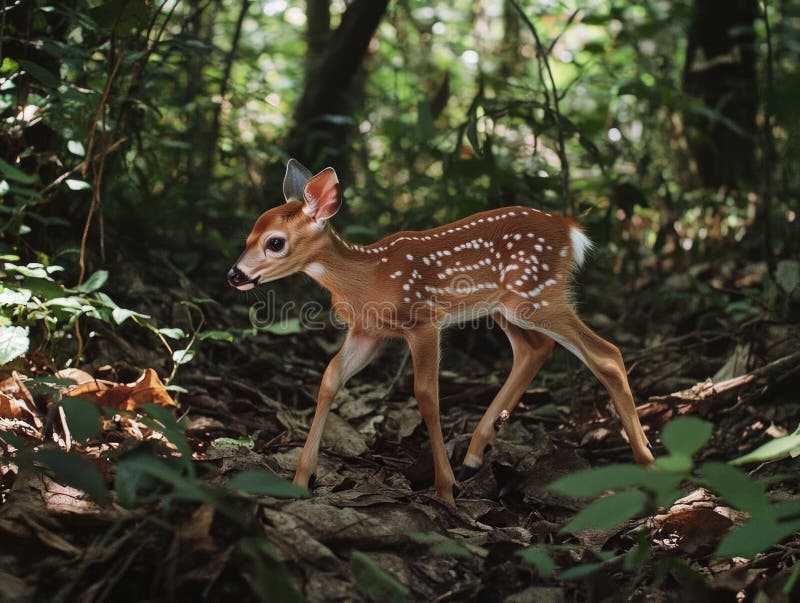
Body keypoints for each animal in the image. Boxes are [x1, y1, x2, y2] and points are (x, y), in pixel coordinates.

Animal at [227, 159, 654, 506]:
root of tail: (571, 230)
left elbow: (426, 394)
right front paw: (300, 481)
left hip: (536, 295)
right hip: (504, 307)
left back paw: (648, 464)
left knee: (606, 354)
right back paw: (474, 456)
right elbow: (330, 378)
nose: (234, 275)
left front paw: (446, 490)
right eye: (247, 235)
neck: (368, 278)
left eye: (275, 242)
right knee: (535, 349)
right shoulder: (368, 331)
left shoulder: (423, 321)